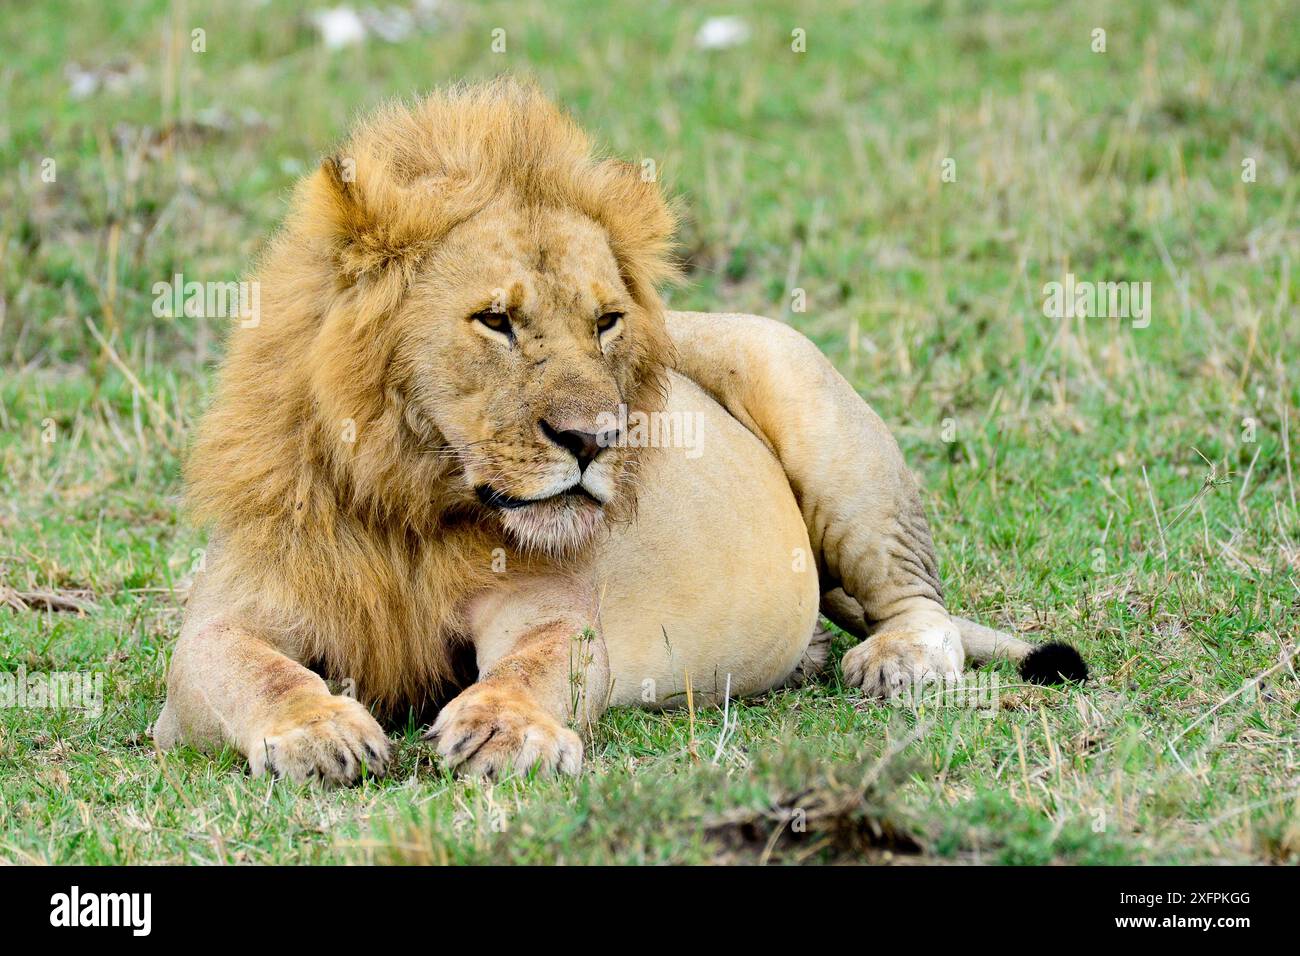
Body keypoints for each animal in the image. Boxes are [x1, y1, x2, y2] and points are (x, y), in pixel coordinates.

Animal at [153, 79, 1085, 782]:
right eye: (496, 321)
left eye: (605, 322)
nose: (594, 439)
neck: (411, 504)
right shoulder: (222, 623)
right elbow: (250, 666)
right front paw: (318, 730)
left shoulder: (548, 608)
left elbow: (540, 662)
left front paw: (506, 731)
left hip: (813, 402)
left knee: (919, 600)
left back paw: (897, 660)